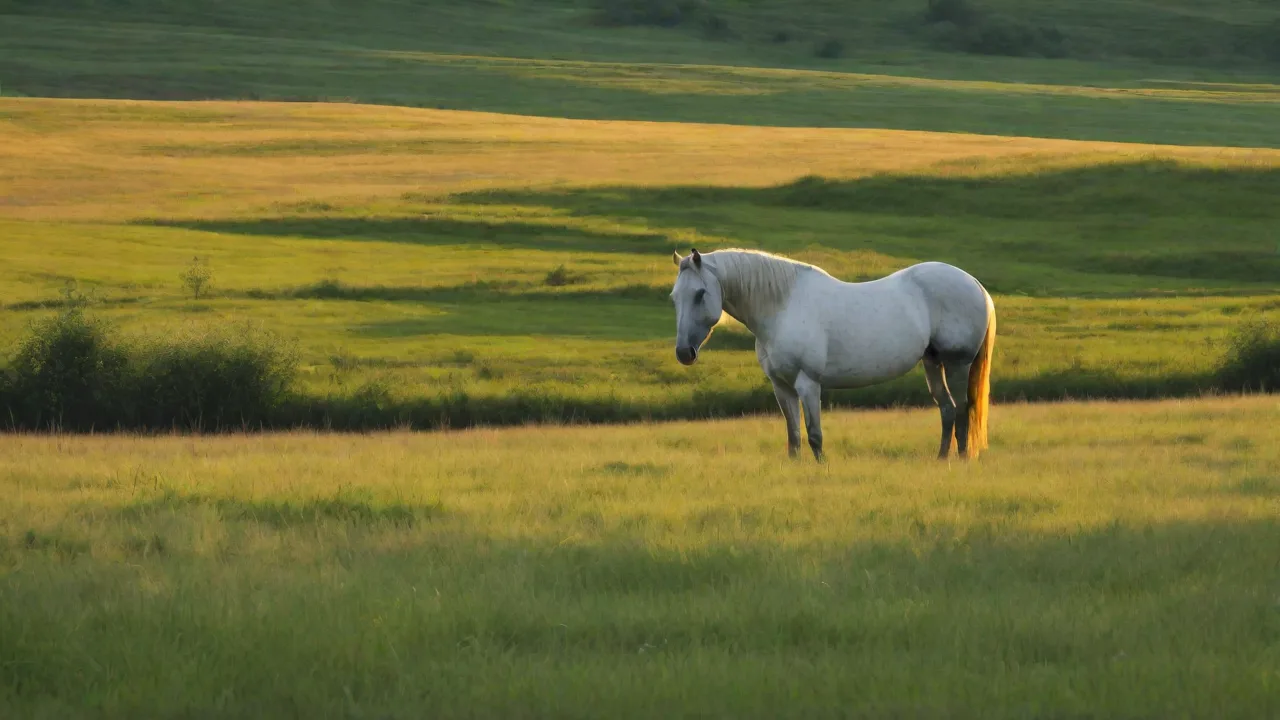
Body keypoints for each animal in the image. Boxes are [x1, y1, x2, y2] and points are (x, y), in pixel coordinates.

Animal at [669, 248, 996, 461]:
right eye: (674, 297)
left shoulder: (807, 383)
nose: (684, 353)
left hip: (957, 363)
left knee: (963, 408)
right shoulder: (781, 386)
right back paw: (941, 458)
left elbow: (814, 433)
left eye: (700, 294)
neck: (782, 308)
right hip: (932, 362)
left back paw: (962, 459)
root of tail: (975, 285)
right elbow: (793, 436)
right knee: (947, 408)